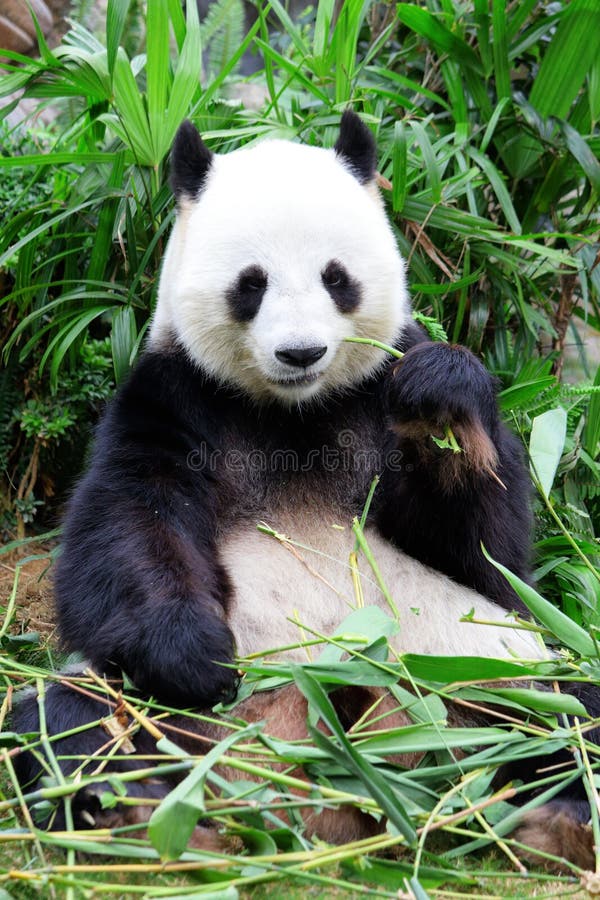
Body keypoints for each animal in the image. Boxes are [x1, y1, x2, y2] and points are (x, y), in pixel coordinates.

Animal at [13, 111, 598, 867]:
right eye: (251, 283)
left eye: (336, 278)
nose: (301, 352)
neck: (293, 410)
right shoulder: (174, 397)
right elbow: (129, 527)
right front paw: (195, 655)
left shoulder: (375, 391)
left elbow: (488, 556)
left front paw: (442, 398)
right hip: (180, 718)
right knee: (72, 718)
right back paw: (139, 808)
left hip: (481, 673)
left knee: (568, 712)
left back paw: (558, 816)